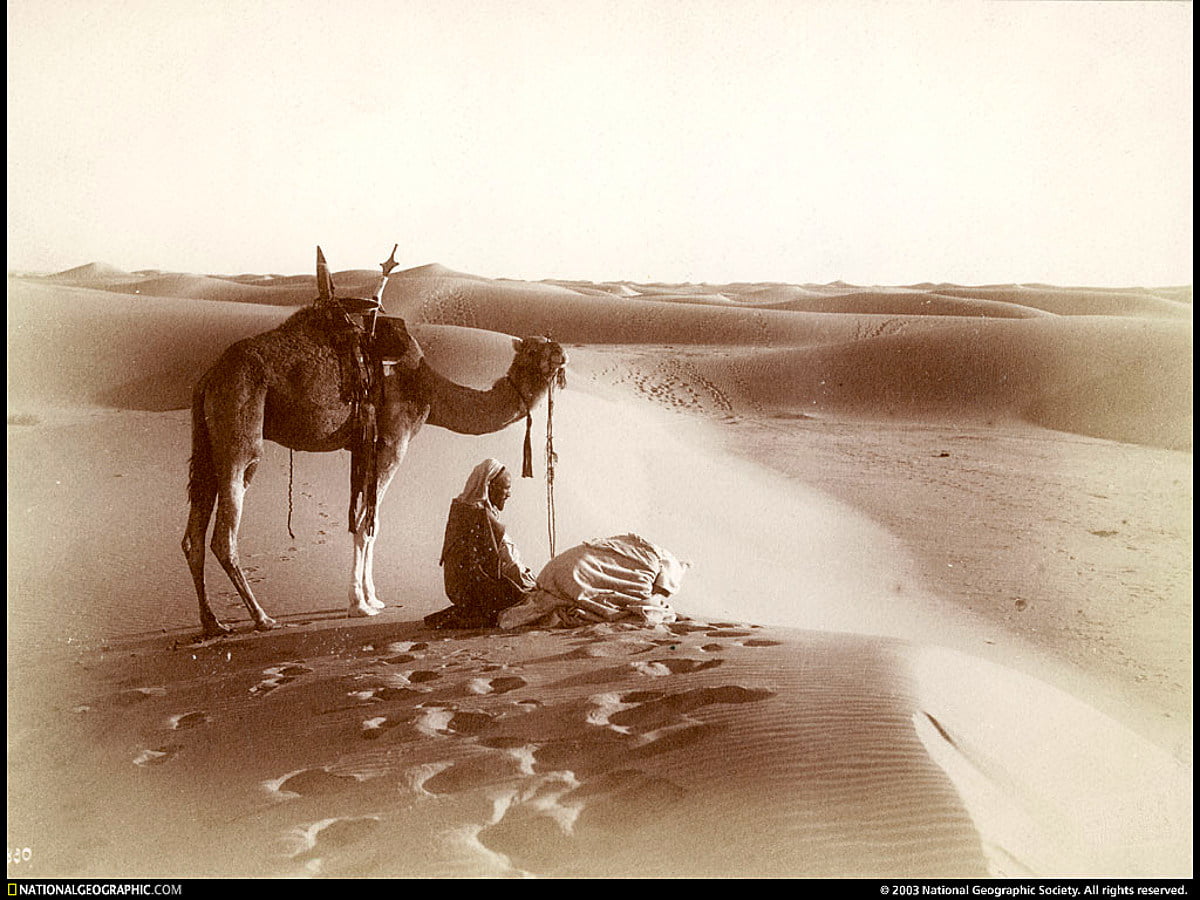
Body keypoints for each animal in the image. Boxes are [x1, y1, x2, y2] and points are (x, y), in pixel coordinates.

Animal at [182, 253, 567, 637]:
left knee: (193, 534)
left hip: (205, 442)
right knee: (224, 531)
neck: (428, 389)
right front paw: (362, 604)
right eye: (535, 349)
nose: (562, 353)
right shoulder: (393, 441)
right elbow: (370, 524)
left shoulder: (364, 448)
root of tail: (209, 376)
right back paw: (261, 617)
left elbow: (365, 523)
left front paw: (371, 597)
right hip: (240, 429)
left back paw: (213, 621)